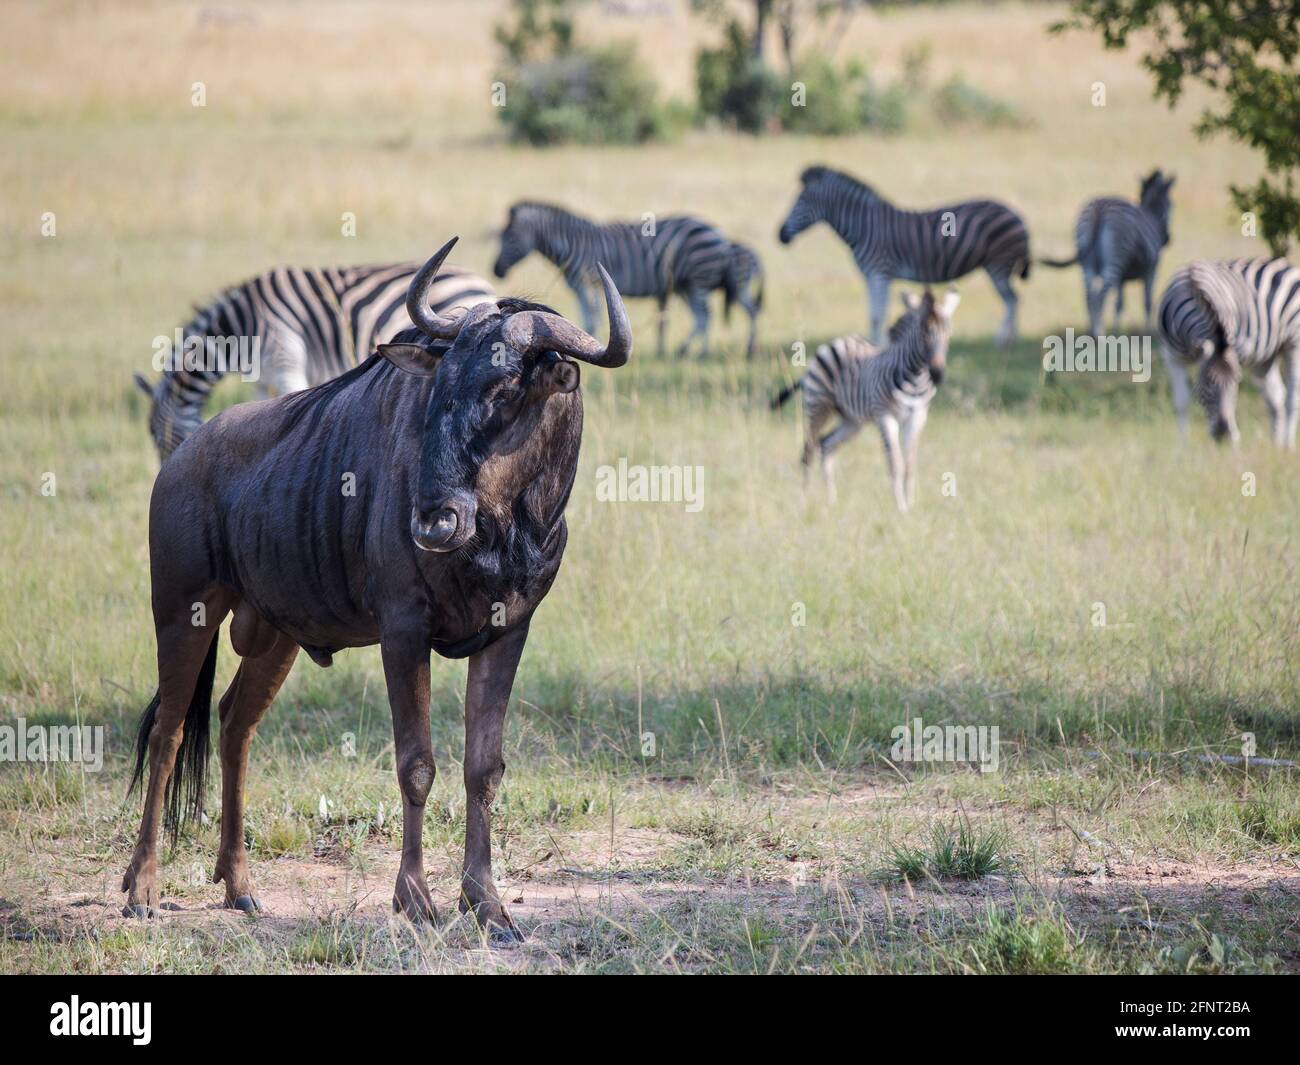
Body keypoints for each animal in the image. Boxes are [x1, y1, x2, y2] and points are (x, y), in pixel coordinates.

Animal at [123, 237, 631, 940]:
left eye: (506, 386)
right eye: (440, 385)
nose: (435, 520)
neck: (504, 530)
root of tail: (181, 457)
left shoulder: (508, 632)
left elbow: (483, 769)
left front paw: (487, 905)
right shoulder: (403, 631)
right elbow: (417, 764)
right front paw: (415, 899)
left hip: (274, 637)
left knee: (234, 726)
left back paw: (240, 886)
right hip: (182, 614)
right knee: (169, 733)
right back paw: (141, 888)